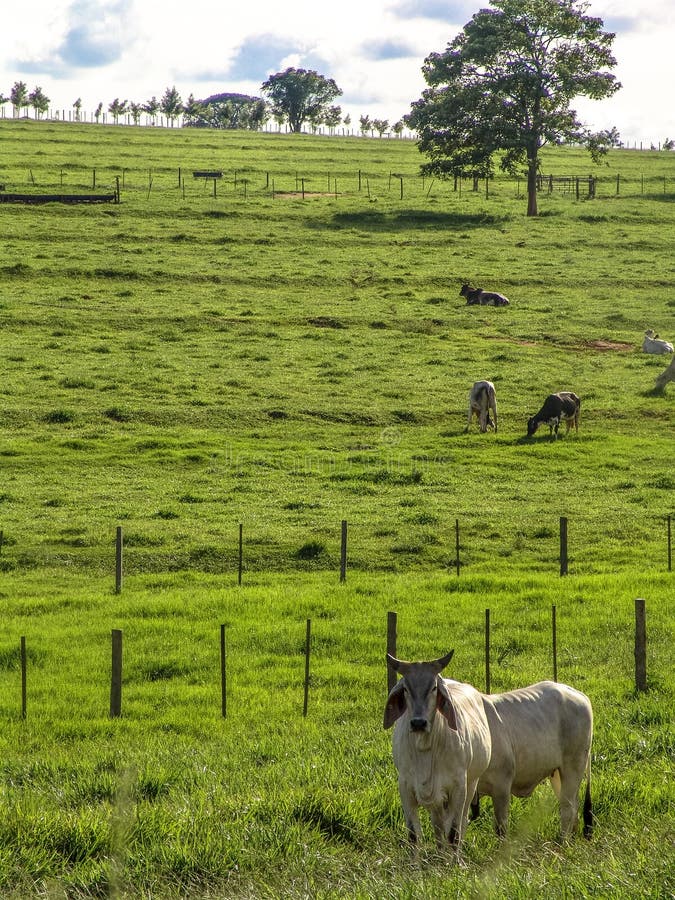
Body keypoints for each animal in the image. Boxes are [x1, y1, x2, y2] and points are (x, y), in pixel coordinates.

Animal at [384, 651, 491, 857]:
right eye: (406, 688)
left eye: (434, 687)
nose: (418, 723)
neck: (425, 747)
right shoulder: (405, 787)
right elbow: (414, 835)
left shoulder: (459, 787)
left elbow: (454, 833)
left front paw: (455, 862)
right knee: (438, 825)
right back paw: (441, 853)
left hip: (471, 784)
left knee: (460, 823)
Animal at [475, 681, 594, 840]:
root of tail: (579, 694)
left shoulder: (501, 785)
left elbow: (501, 829)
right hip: (558, 774)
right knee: (573, 805)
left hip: (574, 766)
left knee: (568, 807)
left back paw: (563, 842)